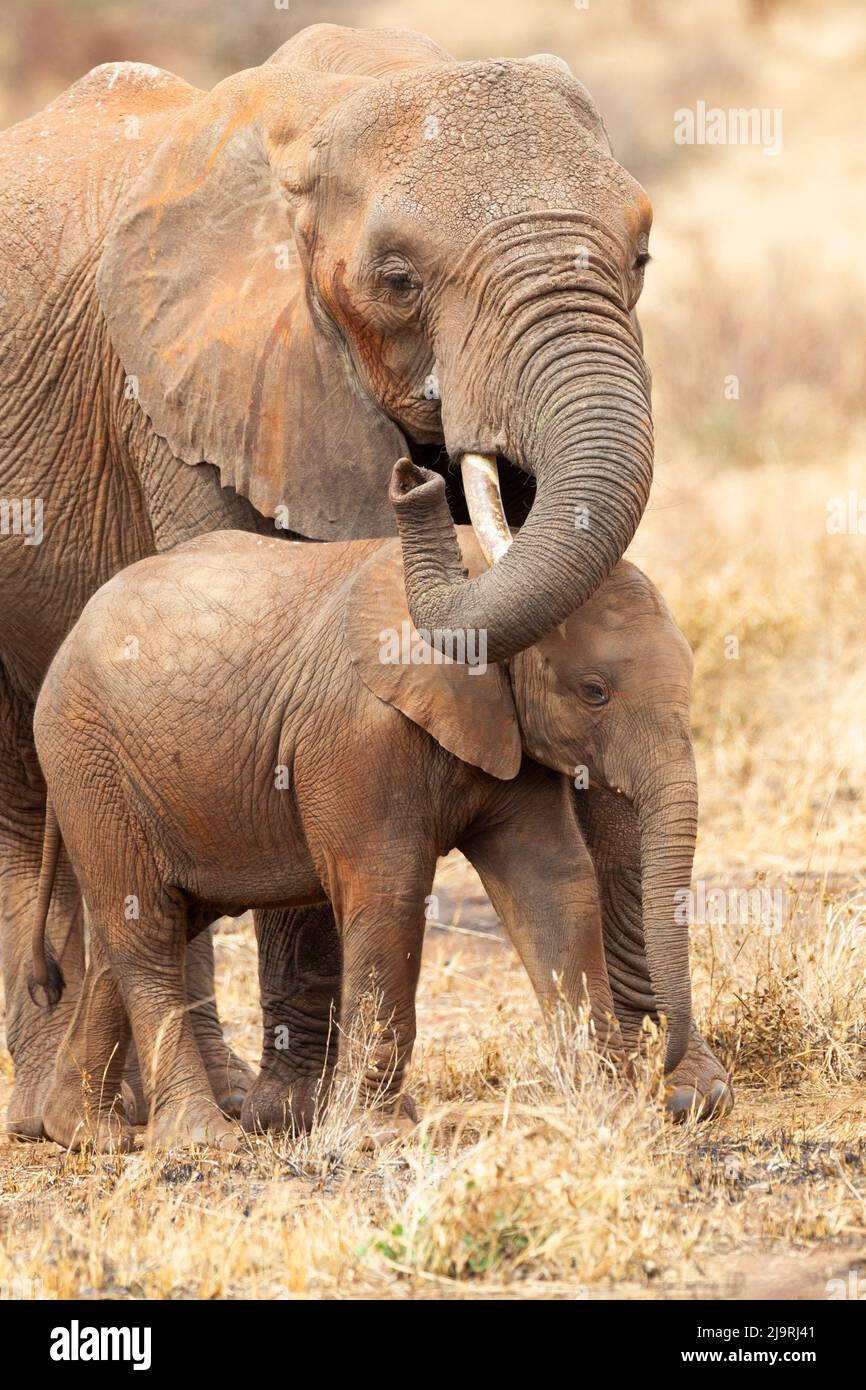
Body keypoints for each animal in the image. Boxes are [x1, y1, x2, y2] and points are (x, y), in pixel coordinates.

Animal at [30, 460, 731, 1152]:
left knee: (148, 925)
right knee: (146, 928)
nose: (666, 1081)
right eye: (594, 692)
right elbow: (388, 893)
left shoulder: (508, 734)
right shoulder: (358, 735)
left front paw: (613, 1110)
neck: (479, 575)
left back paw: (84, 1131)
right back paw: (198, 1141)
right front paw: (376, 1135)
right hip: (89, 759)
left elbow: (554, 881)